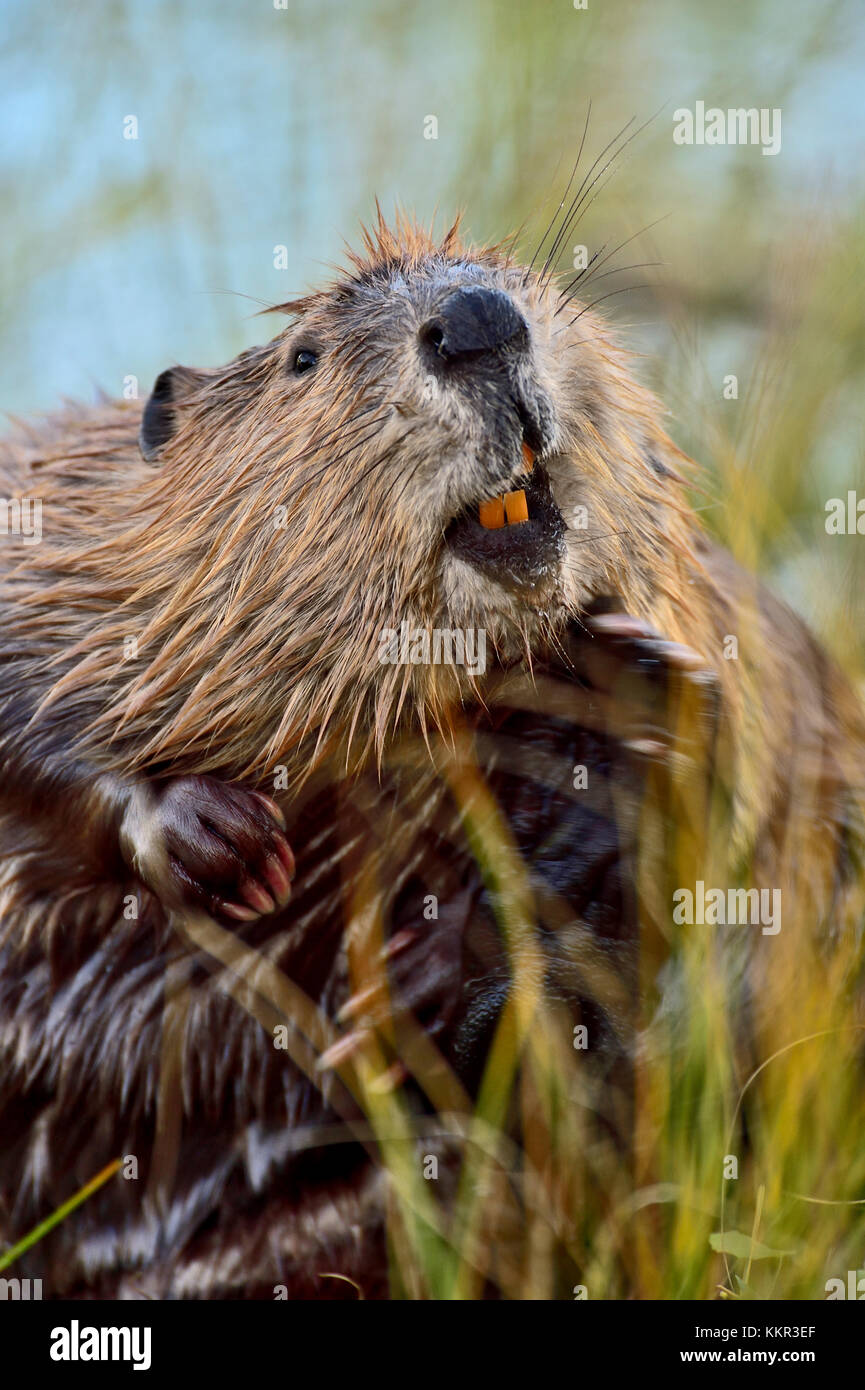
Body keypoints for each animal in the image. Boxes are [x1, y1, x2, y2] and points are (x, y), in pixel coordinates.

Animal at [1, 208, 865, 1301]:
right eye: (303, 356)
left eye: (521, 276)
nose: (477, 321)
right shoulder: (55, 541)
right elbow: (33, 709)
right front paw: (220, 841)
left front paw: (635, 702)